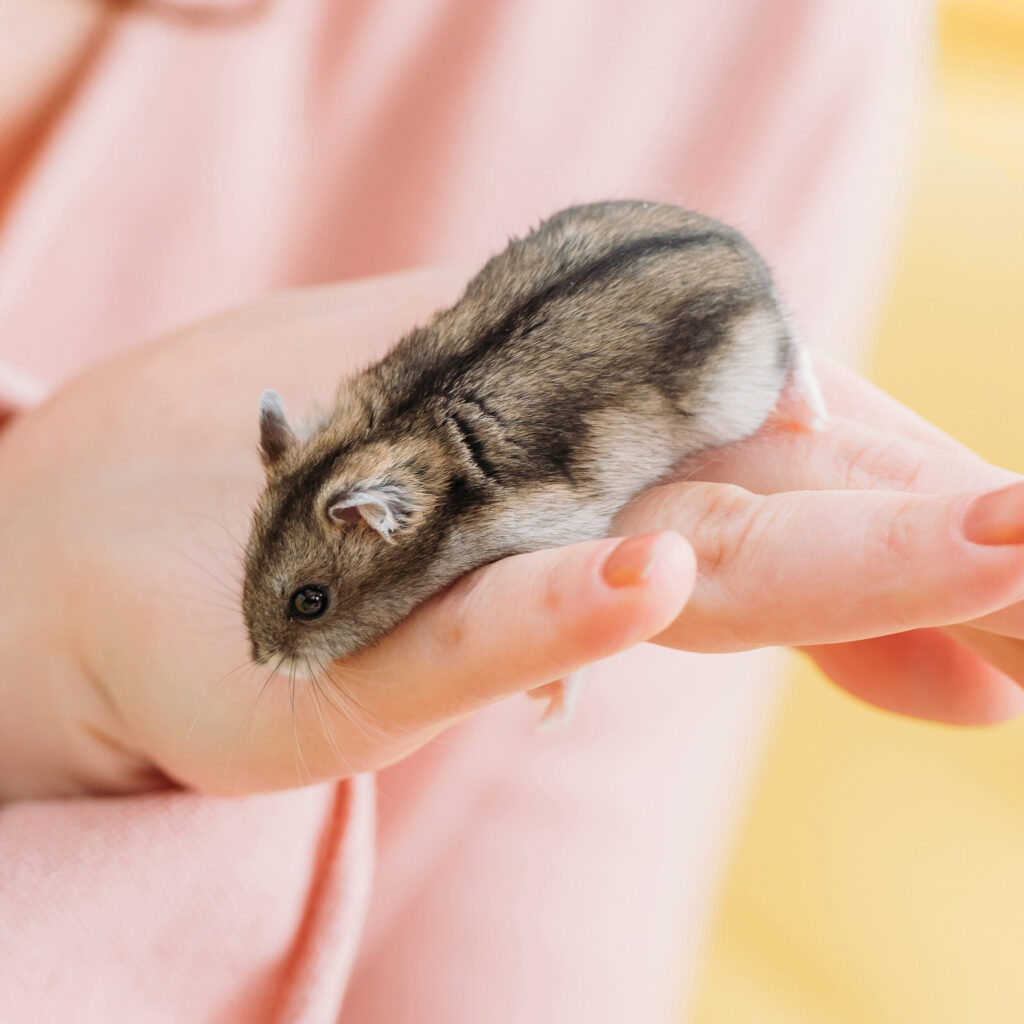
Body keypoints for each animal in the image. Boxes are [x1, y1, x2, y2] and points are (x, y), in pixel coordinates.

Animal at [242, 200, 825, 679]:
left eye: (310, 601)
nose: (263, 659)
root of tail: (743, 252)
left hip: (740, 395)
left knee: (795, 348)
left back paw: (813, 420)